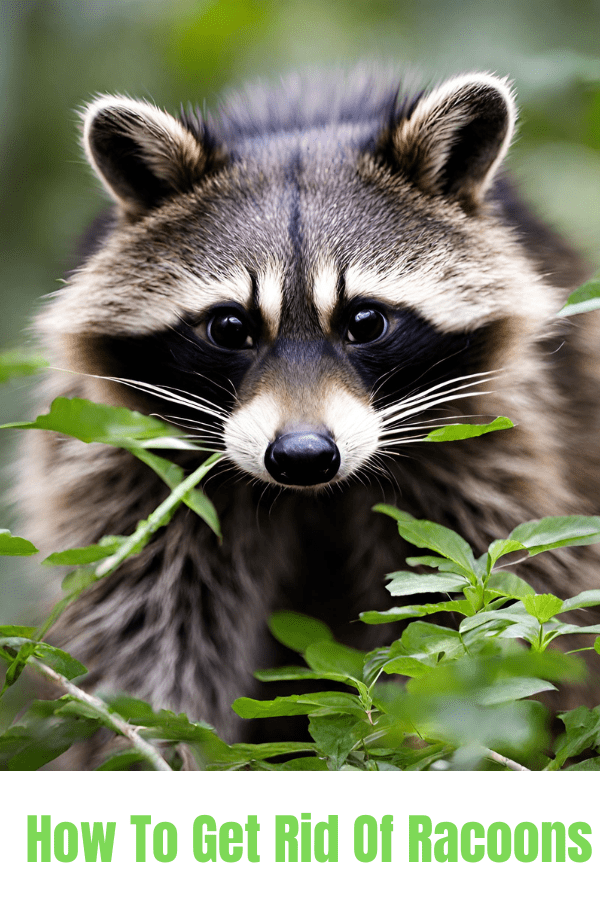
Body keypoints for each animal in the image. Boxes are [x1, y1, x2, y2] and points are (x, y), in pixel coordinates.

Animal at [22, 68, 600, 752]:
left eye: (366, 322)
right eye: (230, 327)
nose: (303, 457)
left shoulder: (489, 451)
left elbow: (470, 612)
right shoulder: (135, 480)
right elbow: (151, 640)